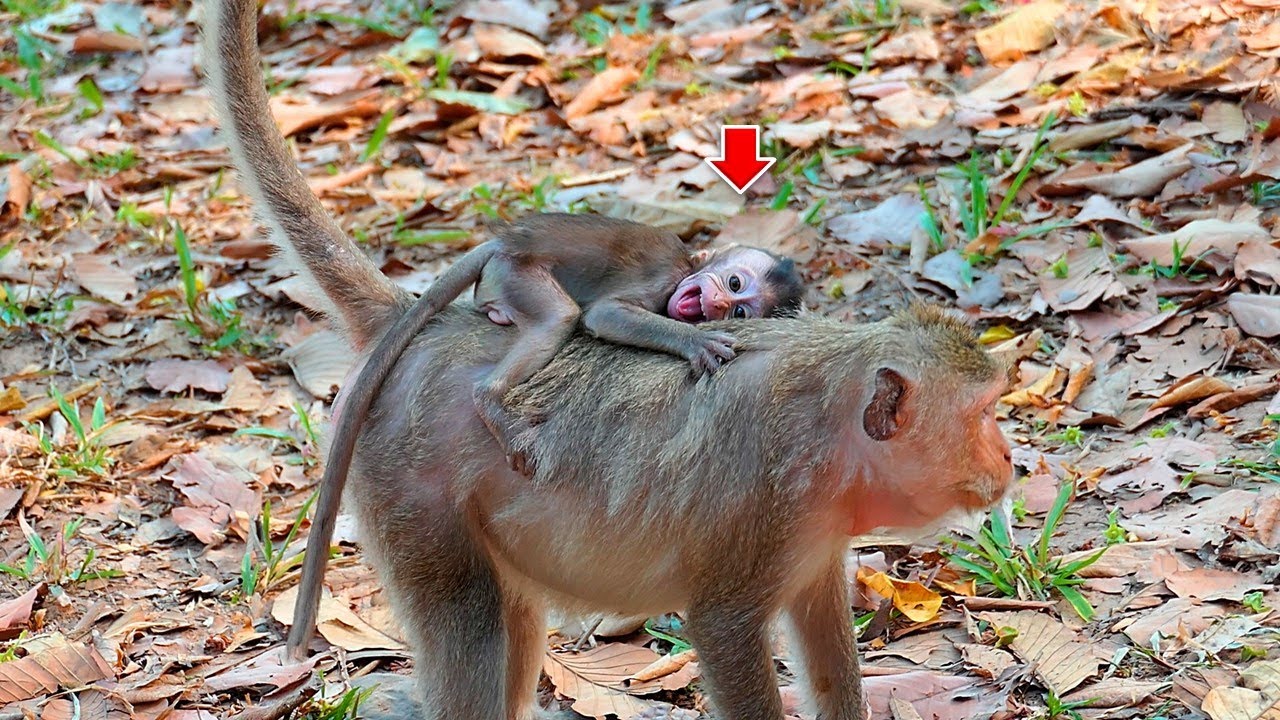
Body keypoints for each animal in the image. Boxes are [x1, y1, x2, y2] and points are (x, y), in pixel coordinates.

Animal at [205, 1, 1014, 718]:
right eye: (981, 414)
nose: (1009, 458)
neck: (833, 430)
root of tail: (426, 328)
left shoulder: (813, 541)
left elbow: (822, 629)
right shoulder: (763, 508)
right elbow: (723, 629)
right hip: (410, 490)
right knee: (471, 619)